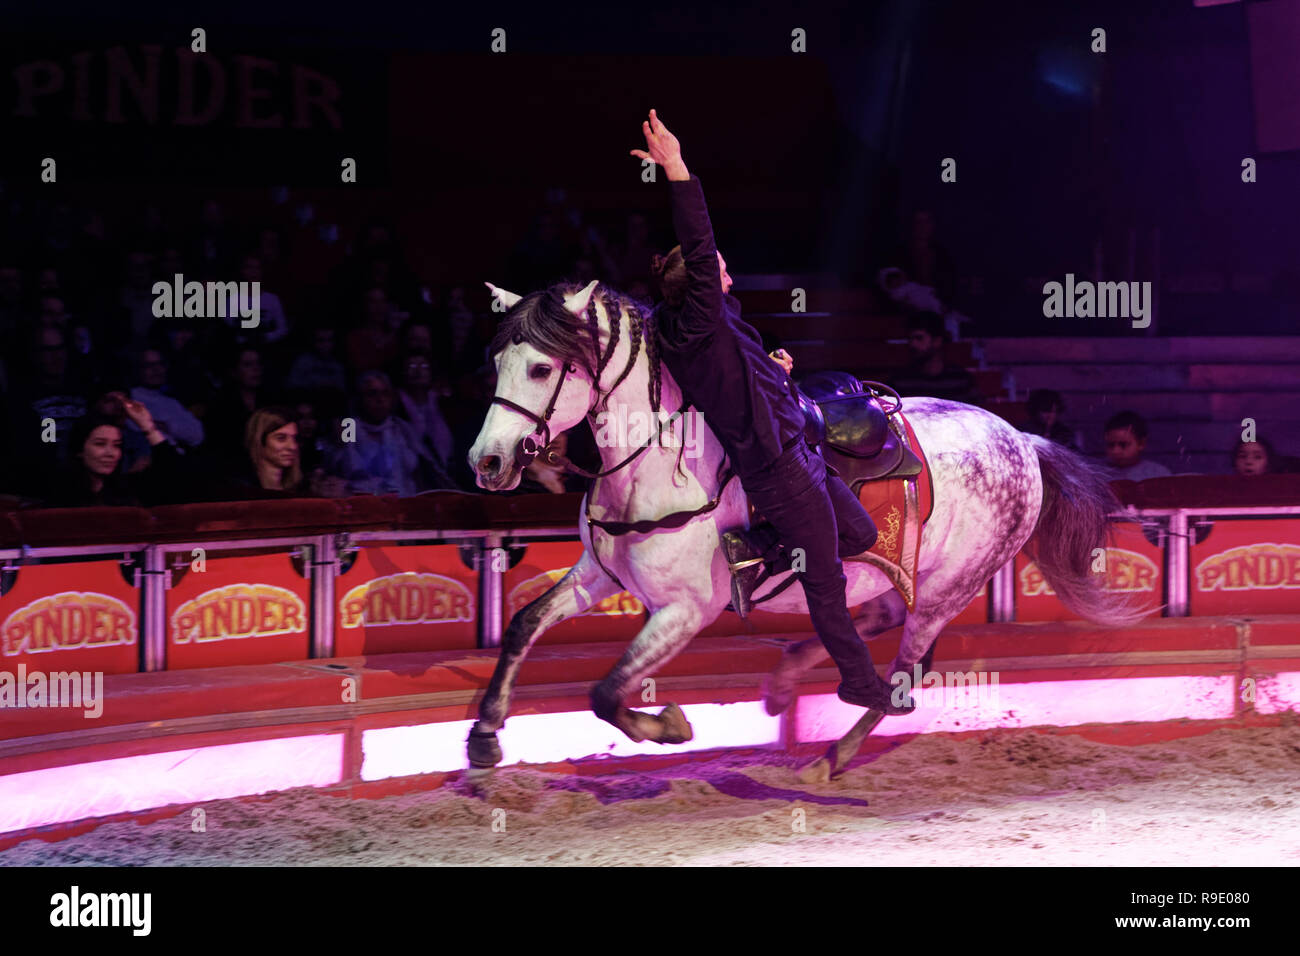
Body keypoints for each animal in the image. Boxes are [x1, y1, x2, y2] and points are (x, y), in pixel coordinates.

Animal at [464, 278, 1143, 774]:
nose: (487, 462)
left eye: (542, 369)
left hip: (951, 586)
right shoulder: (597, 577)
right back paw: (790, 678)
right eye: (495, 361)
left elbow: (606, 694)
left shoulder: (683, 611)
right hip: (897, 570)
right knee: (866, 614)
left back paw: (835, 752)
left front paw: (671, 725)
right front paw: (486, 735)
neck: (657, 465)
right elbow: (524, 624)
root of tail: (1022, 440)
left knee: (906, 675)